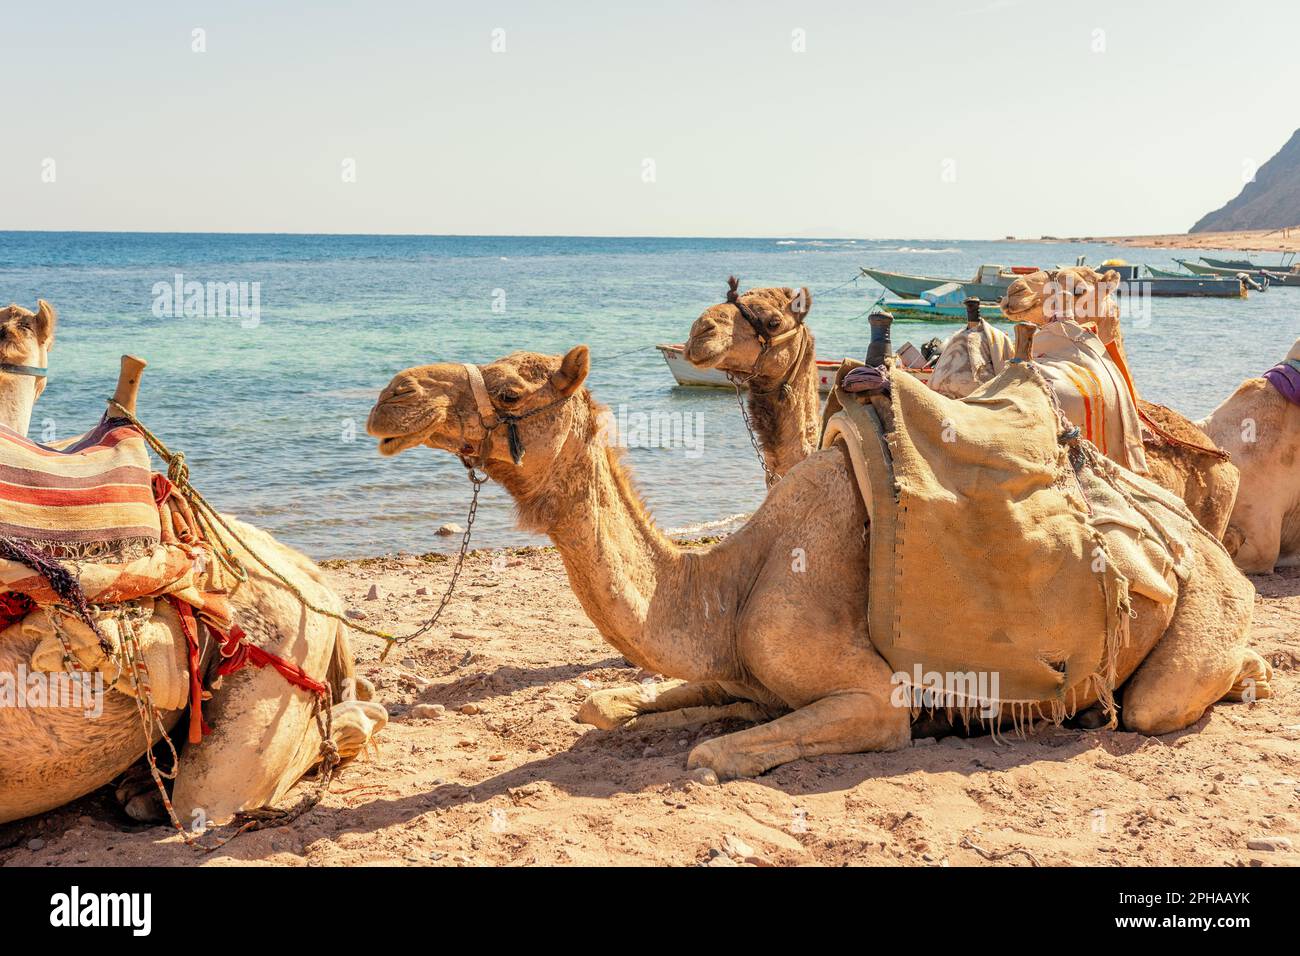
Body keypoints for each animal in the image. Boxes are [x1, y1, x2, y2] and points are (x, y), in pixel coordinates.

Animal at [367, 344, 1270, 779]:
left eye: (514, 391)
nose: (391, 395)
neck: (725, 585)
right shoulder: (739, 667)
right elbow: (623, 705)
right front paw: (629, 708)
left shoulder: (874, 700)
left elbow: (710, 754)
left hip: (1198, 611)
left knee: (1158, 700)